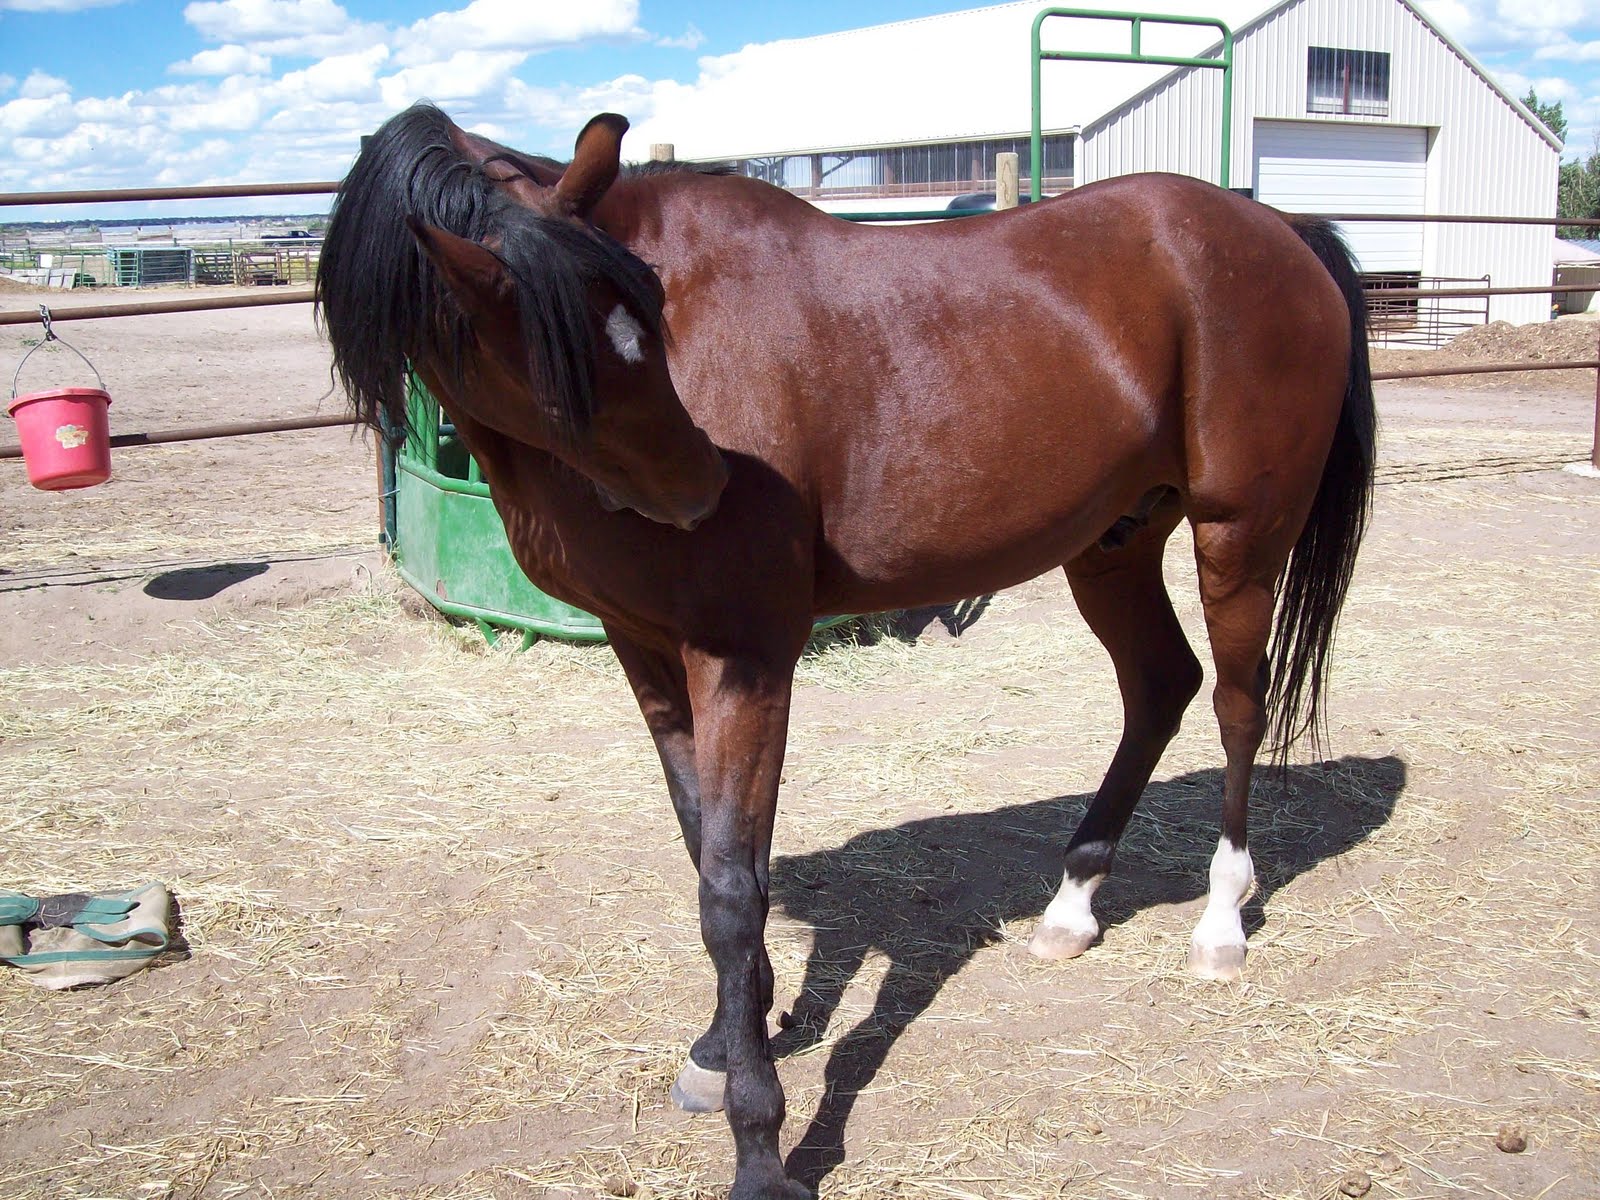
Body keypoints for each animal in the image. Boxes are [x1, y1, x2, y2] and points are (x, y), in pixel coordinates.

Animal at [317, 103, 1375, 1199]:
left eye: (644, 320)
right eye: (567, 359)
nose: (705, 488)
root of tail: (1282, 231)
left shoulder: (744, 657)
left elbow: (732, 891)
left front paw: (757, 1147)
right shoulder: (643, 648)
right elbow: (706, 850)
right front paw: (722, 1043)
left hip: (1237, 538)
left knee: (1237, 706)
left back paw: (1220, 923)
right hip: (1113, 544)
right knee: (1161, 687)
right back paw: (1073, 904)